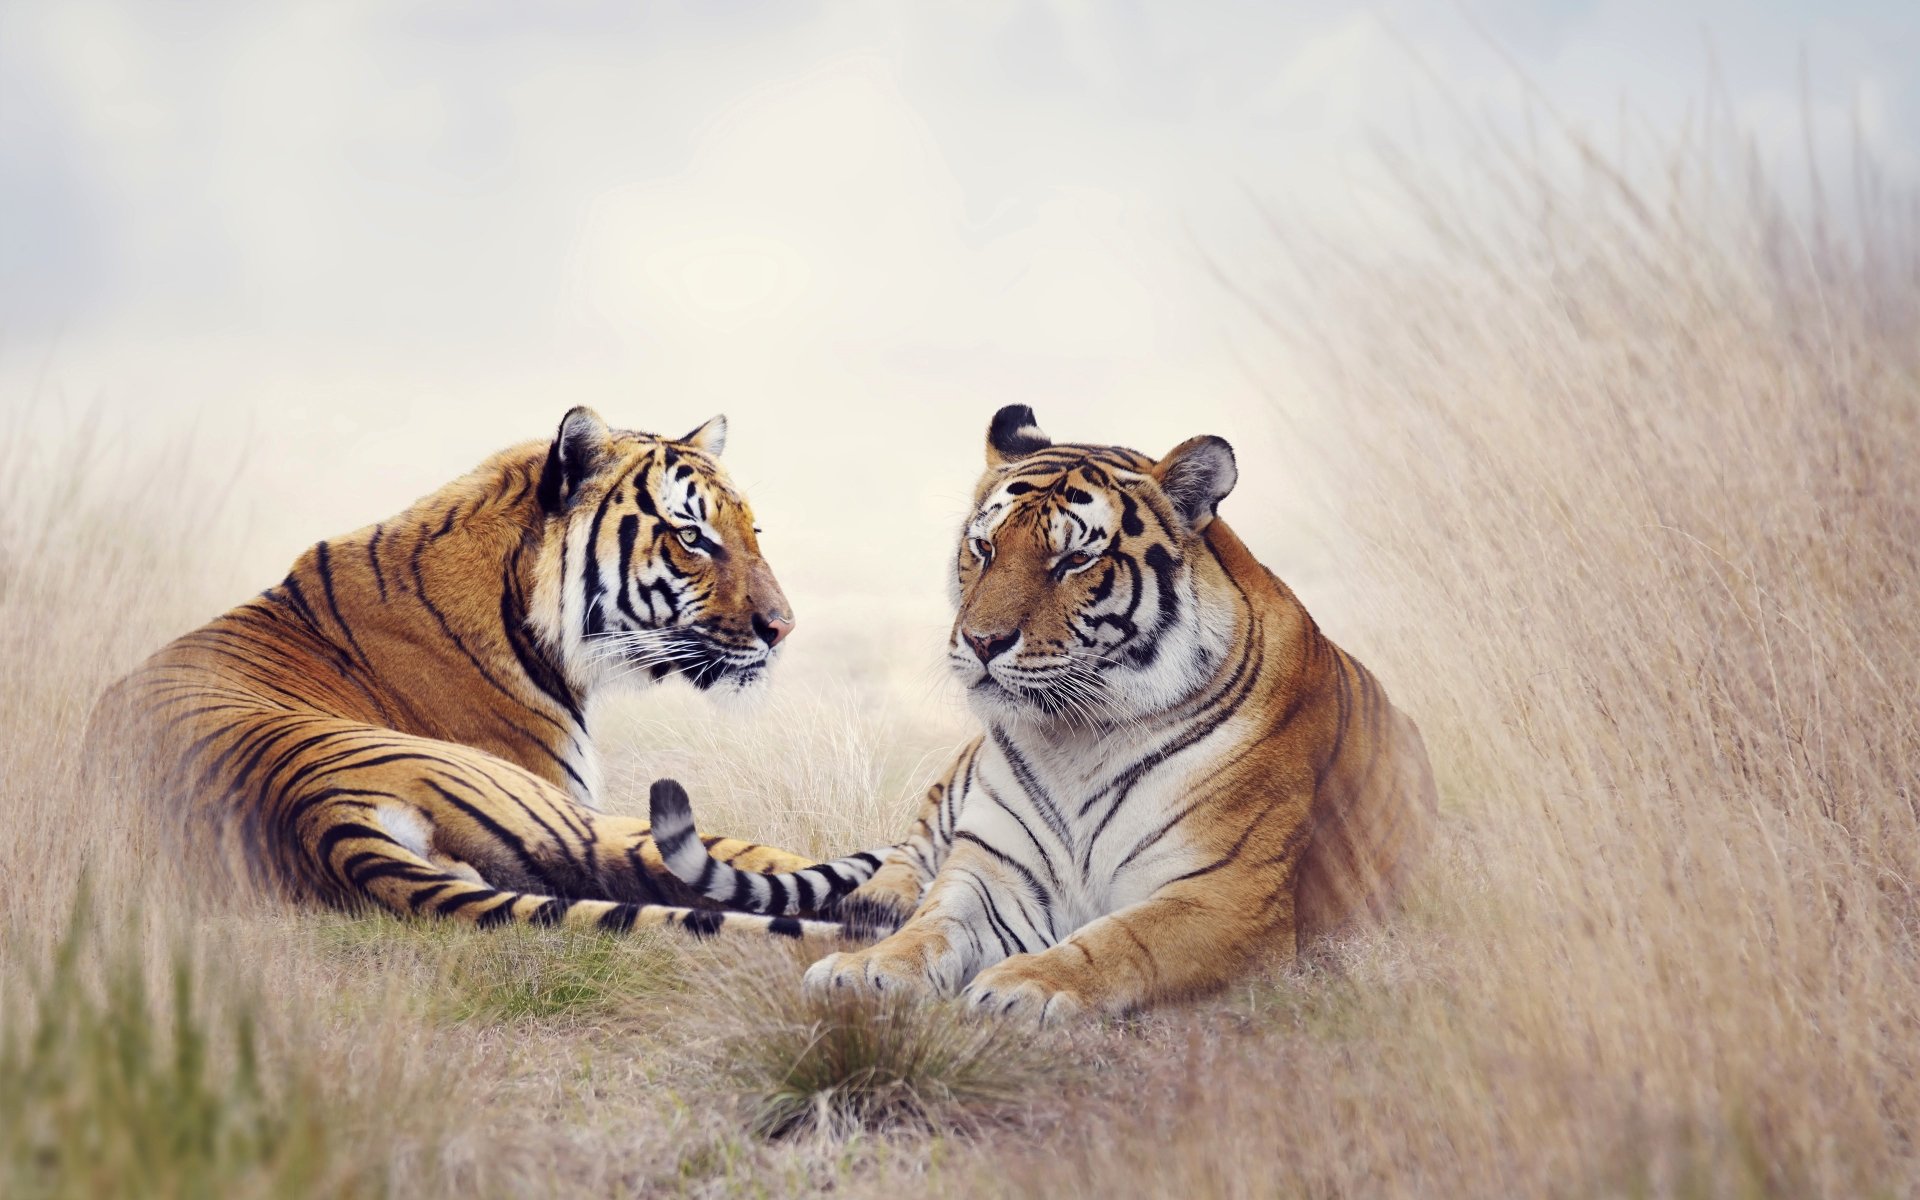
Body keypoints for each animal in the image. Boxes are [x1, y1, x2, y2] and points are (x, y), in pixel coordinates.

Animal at [647, 404, 1438, 1018]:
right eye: (983, 547)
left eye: (1074, 561)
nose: (981, 641)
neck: (1079, 736)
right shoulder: (993, 871)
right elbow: (934, 923)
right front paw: (869, 968)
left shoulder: (1226, 894)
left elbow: (1121, 938)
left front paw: (1025, 985)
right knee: (906, 856)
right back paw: (878, 903)